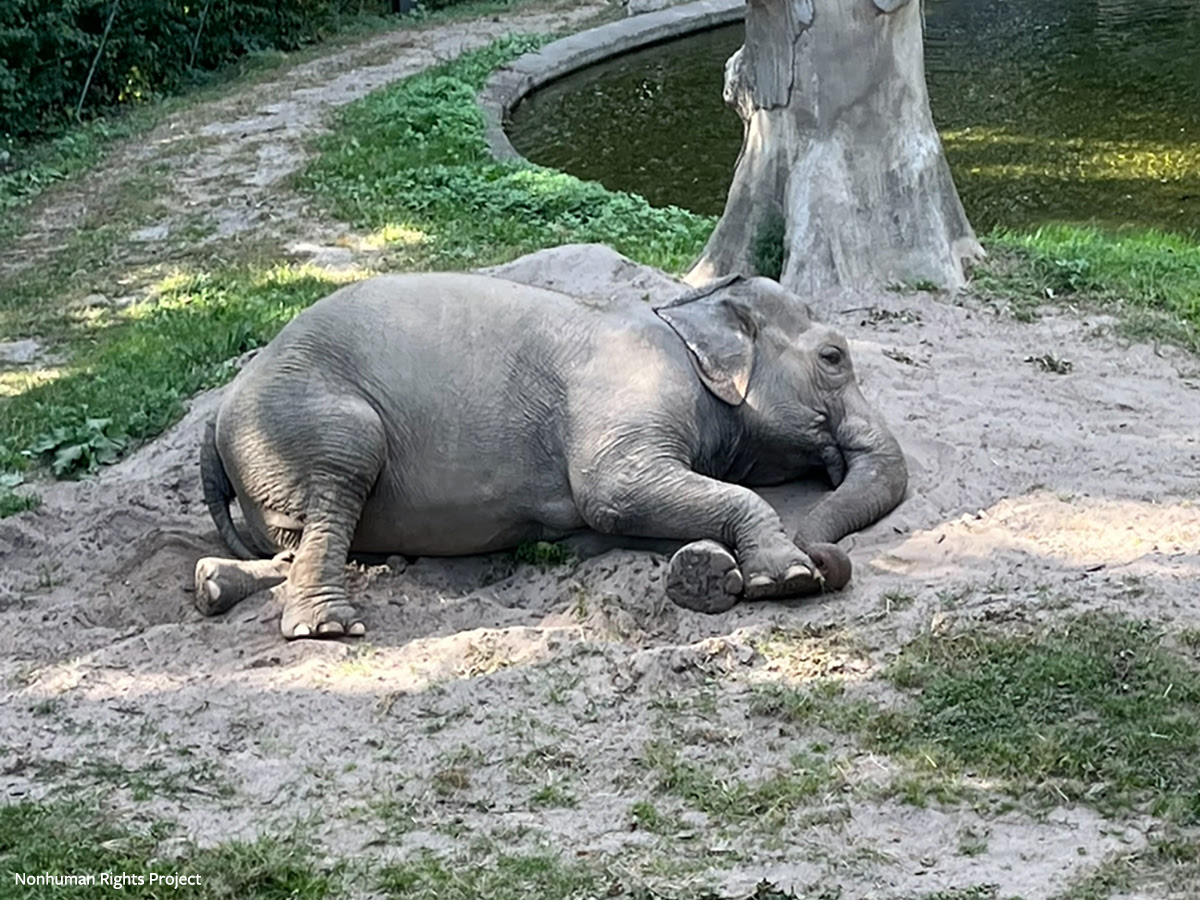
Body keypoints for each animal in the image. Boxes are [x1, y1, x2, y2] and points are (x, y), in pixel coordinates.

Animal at [194, 271, 908, 638]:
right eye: (834, 357)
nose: (827, 557)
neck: (684, 311)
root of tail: (217, 416)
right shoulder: (633, 393)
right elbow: (613, 494)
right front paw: (787, 578)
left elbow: (603, 524)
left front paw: (703, 571)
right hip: (307, 419)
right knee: (345, 465)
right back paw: (327, 627)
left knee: (296, 546)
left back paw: (215, 584)